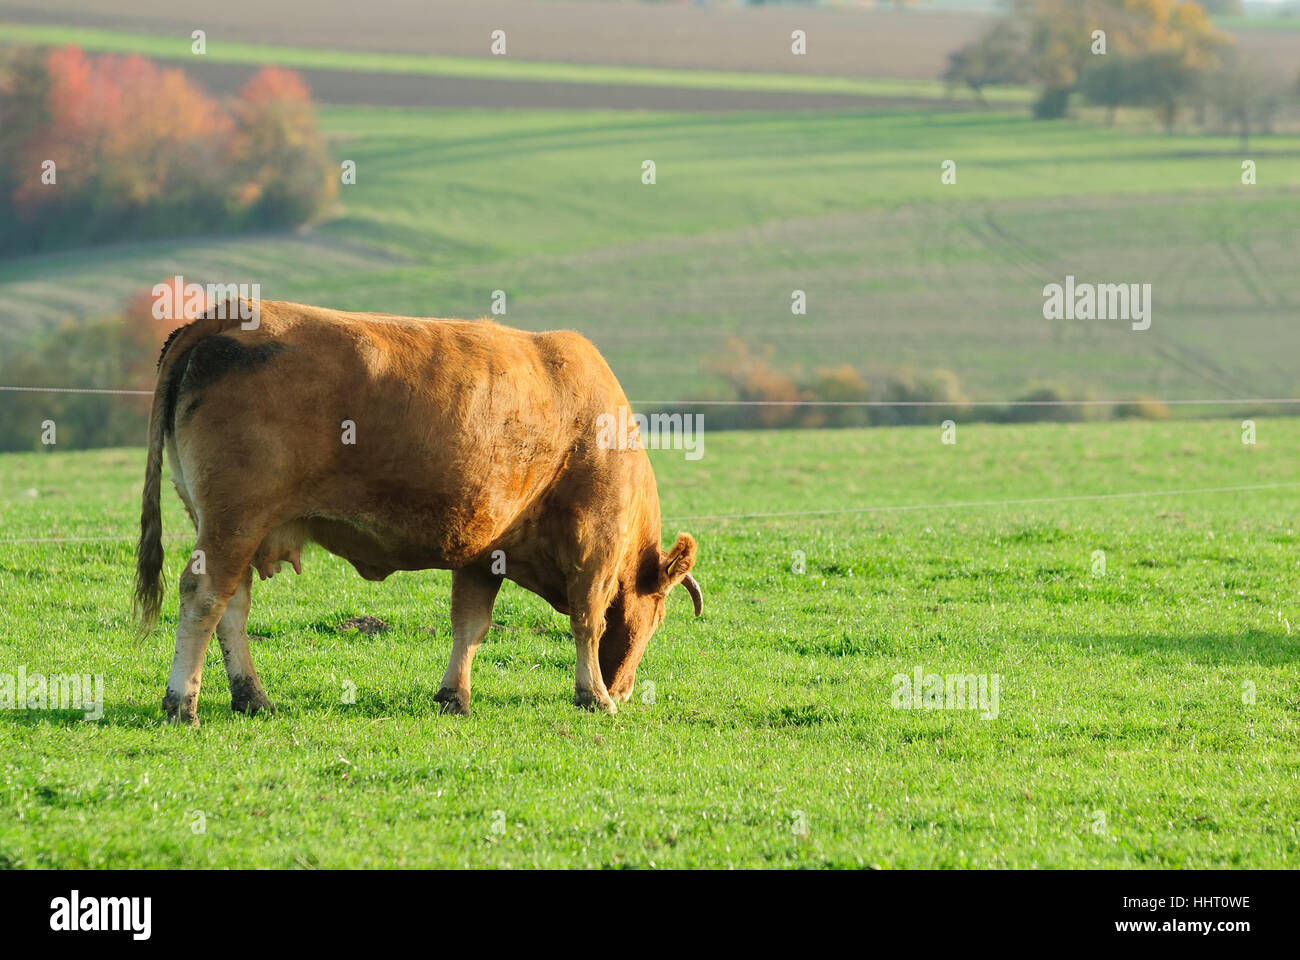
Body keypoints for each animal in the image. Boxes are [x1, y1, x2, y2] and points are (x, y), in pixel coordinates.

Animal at [134, 299, 702, 726]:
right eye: (658, 614)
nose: (624, 689)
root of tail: (228, 312)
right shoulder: (594, 542)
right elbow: (589, 621)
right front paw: (595, 696)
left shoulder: (483, 549)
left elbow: (470, 625)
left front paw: (454, 696)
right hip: (235, 519)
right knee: (204, 597)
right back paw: (182, 704)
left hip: (228, 525)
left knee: (232, 605)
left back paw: (252, 697)